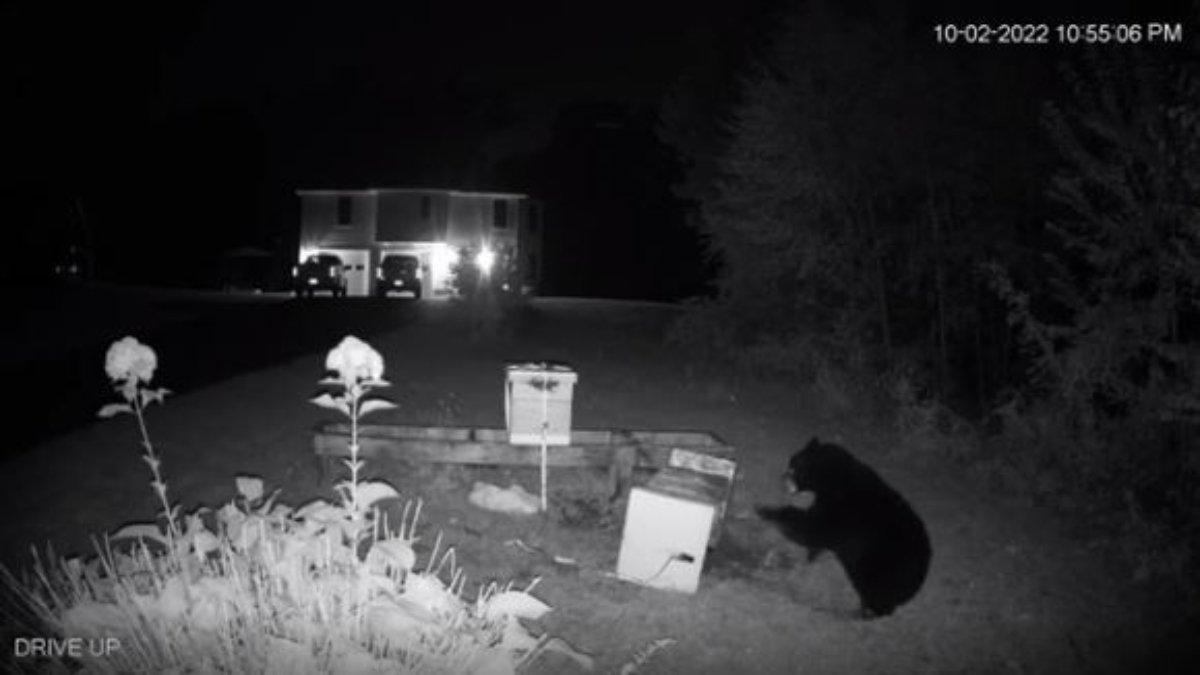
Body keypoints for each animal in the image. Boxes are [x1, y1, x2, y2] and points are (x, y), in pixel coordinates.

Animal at [756, 437, 931, 619]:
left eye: (792, 467)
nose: (781, 478)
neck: (833, 477)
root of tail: (922, 572)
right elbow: (815, 538)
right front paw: (811, 557)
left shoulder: (838, 509)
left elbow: (810, 528)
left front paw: (764, 509)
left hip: (881, 571)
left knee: (878, 601)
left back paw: (859, 614)